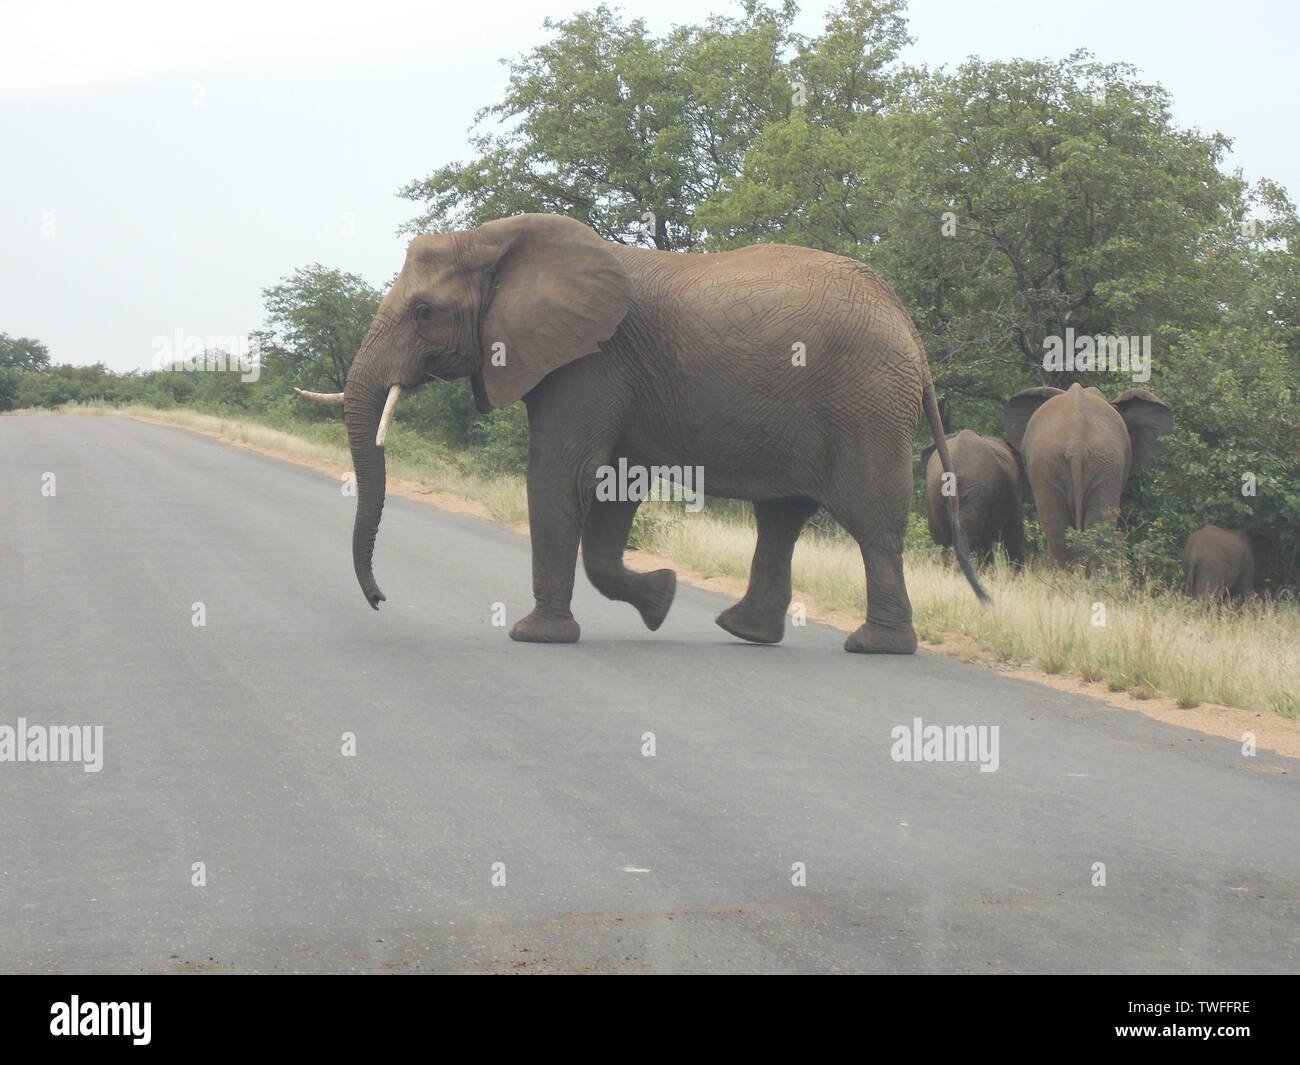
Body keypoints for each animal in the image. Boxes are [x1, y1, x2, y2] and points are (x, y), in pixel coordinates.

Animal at [296, 213, 987, 653]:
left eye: (423, 313)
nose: (380, 601)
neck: (499, 241)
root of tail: (907, 325)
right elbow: (611, 490)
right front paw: (662, 598)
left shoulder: (590, 362)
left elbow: (561, 475)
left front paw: (536, 636)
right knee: (782, 517)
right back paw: (744, 632)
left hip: (865, 404)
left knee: (871, 522)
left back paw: (875, 647)